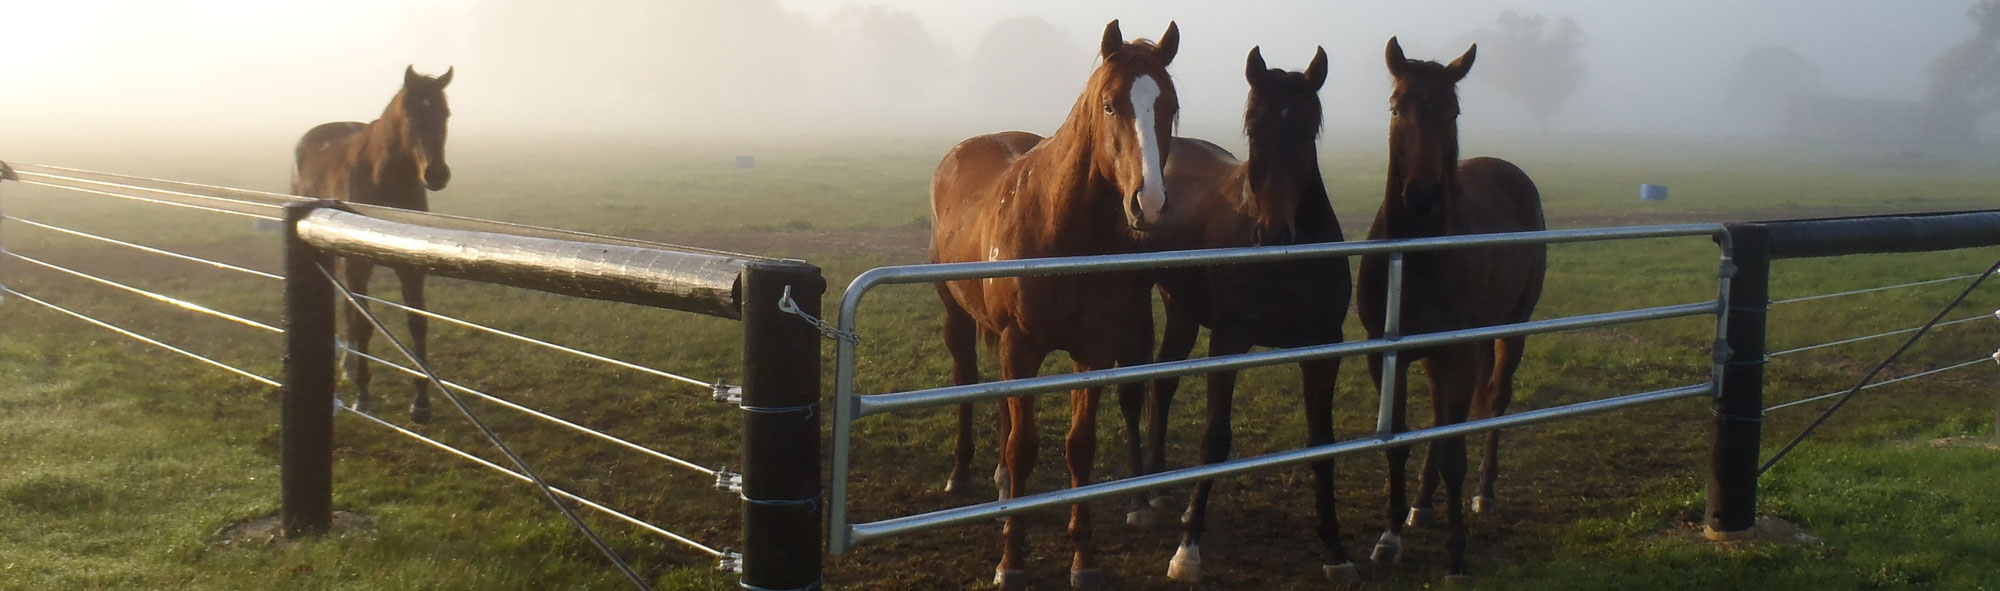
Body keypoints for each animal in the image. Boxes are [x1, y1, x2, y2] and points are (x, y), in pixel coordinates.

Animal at [292, 65, 454, 424]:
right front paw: (363, 395)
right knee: (351, 309)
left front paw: (421, 404)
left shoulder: (411, 268)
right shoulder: (358, 263)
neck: (386, 179)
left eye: (445, 113)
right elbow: (365, 323)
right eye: (410, 114)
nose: (436, 175)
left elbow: (417, 324)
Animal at [930, 19, 1179, 590]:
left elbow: (1078, 446)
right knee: (967, 381)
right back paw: (960, 474)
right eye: (1110, 105)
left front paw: (1084, 560)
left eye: (1170, 105)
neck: (1061, 226)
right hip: (960, 320)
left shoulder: (1091, 352)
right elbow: (1024, 447)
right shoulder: (1021, 347)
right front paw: (1012, 560)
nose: (1149, 203)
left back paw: (1000, 484)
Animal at [1139, 46, 1358, 584]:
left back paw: (1161, 492)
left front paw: (1335, 548)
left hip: (1183, 312)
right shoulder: (1229, 342)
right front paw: (1188, 549)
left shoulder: (1325, 348)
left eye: (1308, 130)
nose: (1274, 233)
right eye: (1255, 130)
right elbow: (1215, 439)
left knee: (1164, 383)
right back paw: (1148, 495)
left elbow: (1323, 443)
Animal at [1356, 38, 1546, 580]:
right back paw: (1422, 505)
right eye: (1396, 107)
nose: (1421, 195)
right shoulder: (1386, 354)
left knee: (1492, 402)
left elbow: (1455, 447)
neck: (1417, 256)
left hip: (1511, 327)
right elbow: (1401, 438)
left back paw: (1483, 494)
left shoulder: (1453, 354)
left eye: (1453, 110)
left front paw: (1457, 551)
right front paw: (1390, 535)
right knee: (1444, 424)